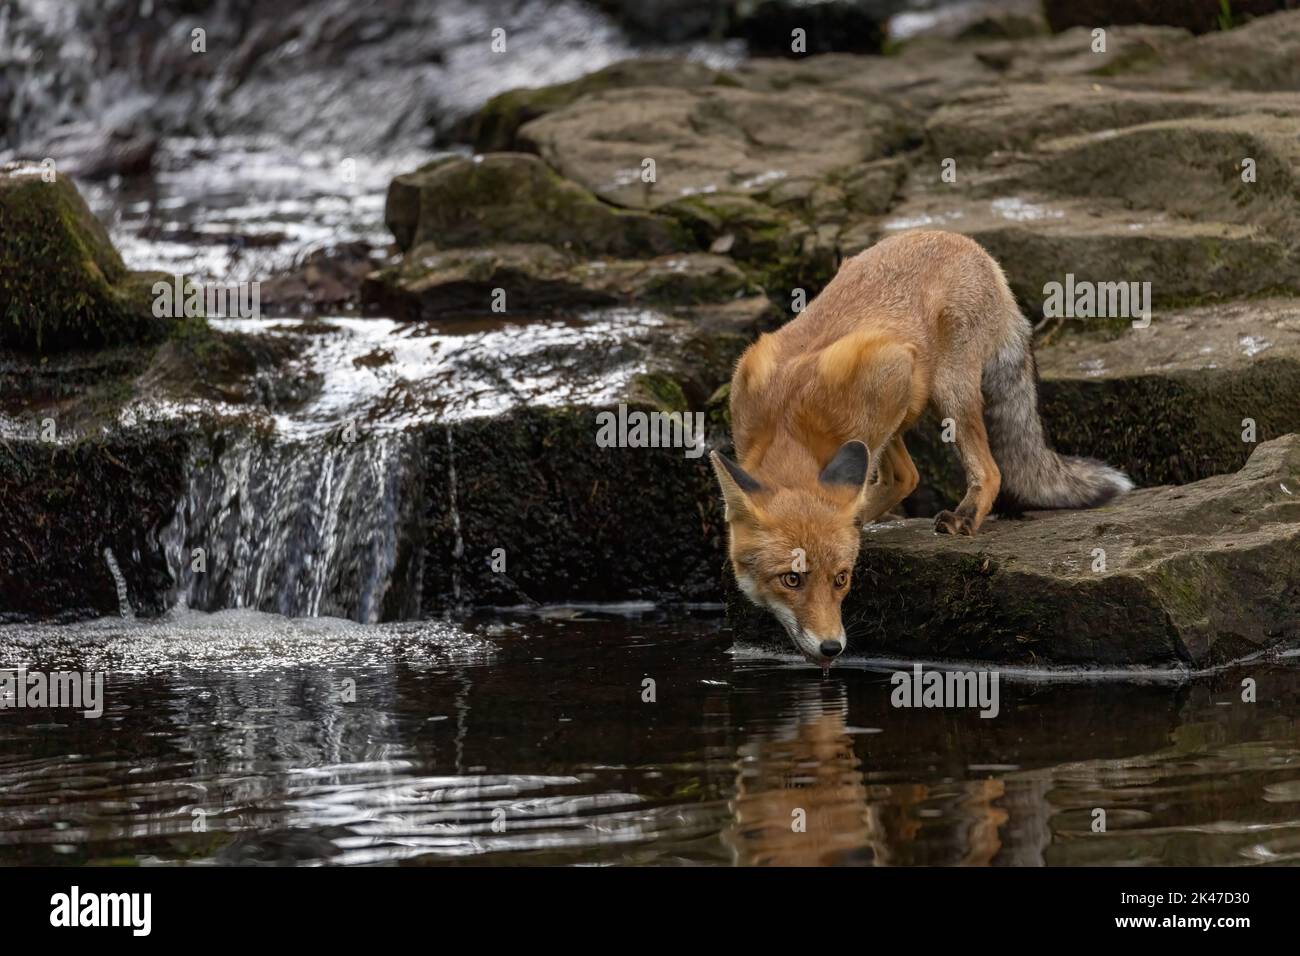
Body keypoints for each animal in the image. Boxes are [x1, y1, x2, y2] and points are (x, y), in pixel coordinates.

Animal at [711, 230, 1133, 666]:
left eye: (841, 579)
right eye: (791, 579)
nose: (833, 647)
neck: (789, 427)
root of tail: (971, 246)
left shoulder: (891, 372)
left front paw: (859, 527)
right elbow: (892, 482)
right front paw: (859, 524)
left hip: (948, 390)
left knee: (988, 470)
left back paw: (964, 516)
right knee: (907, 475)